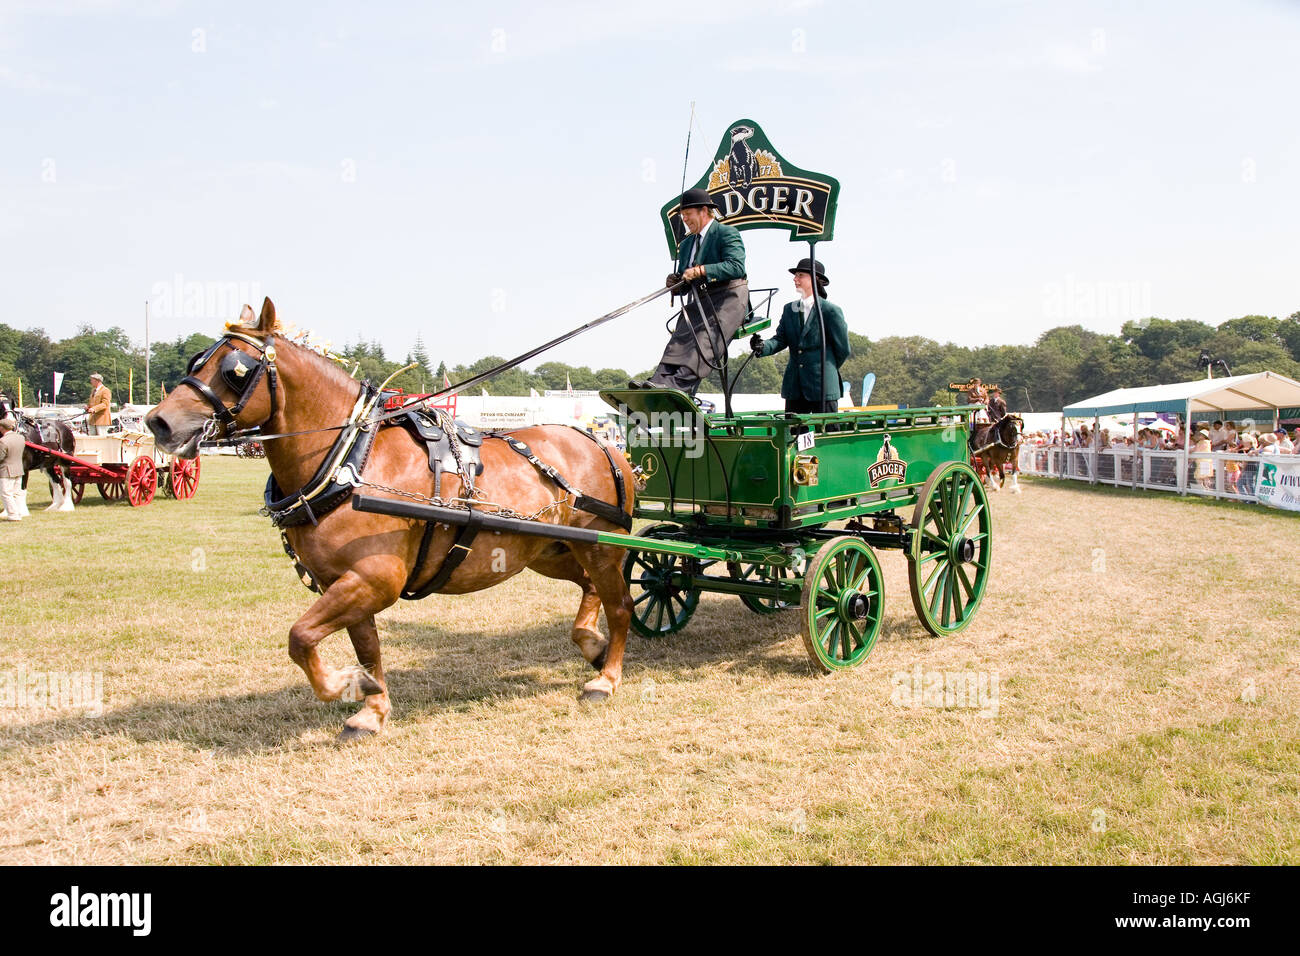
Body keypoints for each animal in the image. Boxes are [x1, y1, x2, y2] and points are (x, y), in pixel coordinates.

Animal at [144, 299, 636, 741]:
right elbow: (366, 648)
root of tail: (603, 444)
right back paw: (591, 643)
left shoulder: (375, 578)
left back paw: (606, 678)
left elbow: (300, 636)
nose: (158, 422)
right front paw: (371, 708)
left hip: (599, 546)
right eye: (196, 360)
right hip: (550, 550)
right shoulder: (343, 579)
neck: (350, 461)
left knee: (621, 604)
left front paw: (345, 684)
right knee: (592, 588)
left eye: (236, 369)